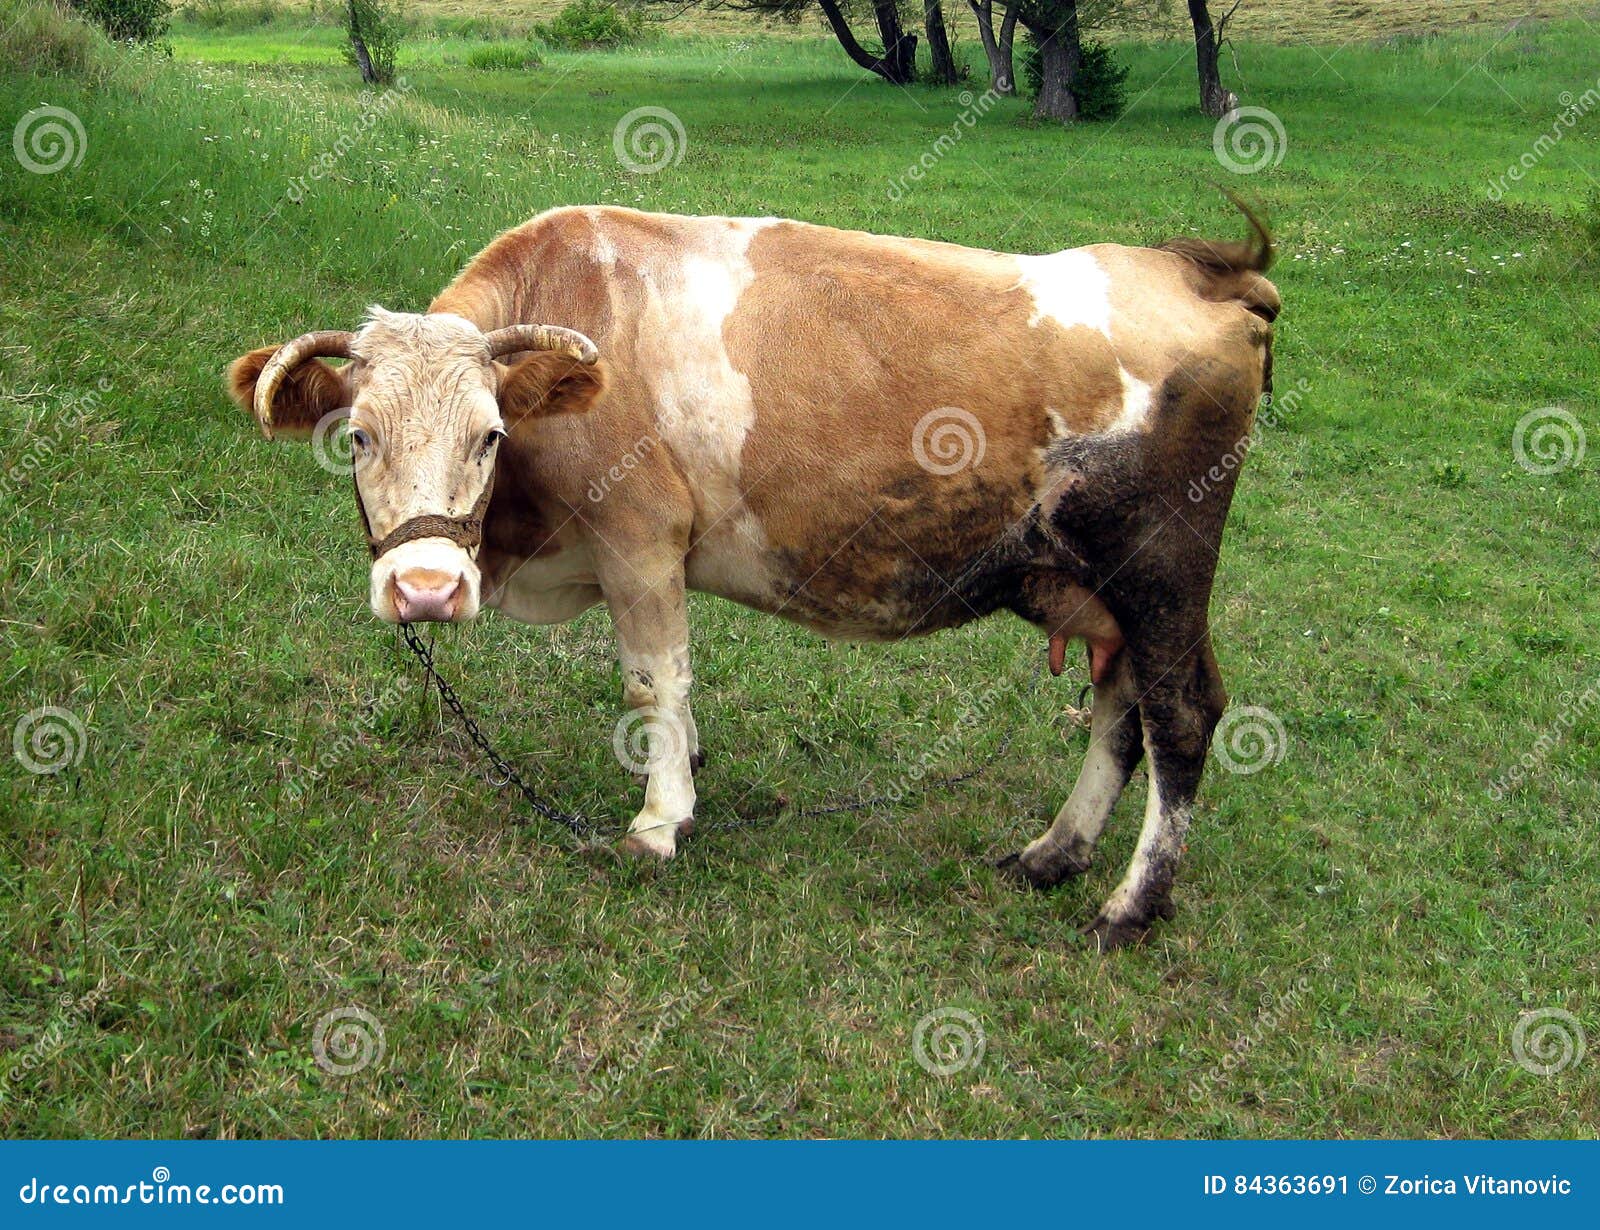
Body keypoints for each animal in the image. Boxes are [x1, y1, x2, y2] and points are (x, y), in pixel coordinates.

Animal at [228, 204, 1279, 950]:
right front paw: (686, 767)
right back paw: (1053, 853)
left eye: (489, 436)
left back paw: (1128, 907)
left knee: (1180, 716)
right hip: (1105, 593)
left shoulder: (639, 534)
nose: (427, 589)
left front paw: (659, 822)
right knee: (1119, 709)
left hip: (1162, 570)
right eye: (357, 437)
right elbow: (678, 683)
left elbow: (651, 678)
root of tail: (1203, 277)